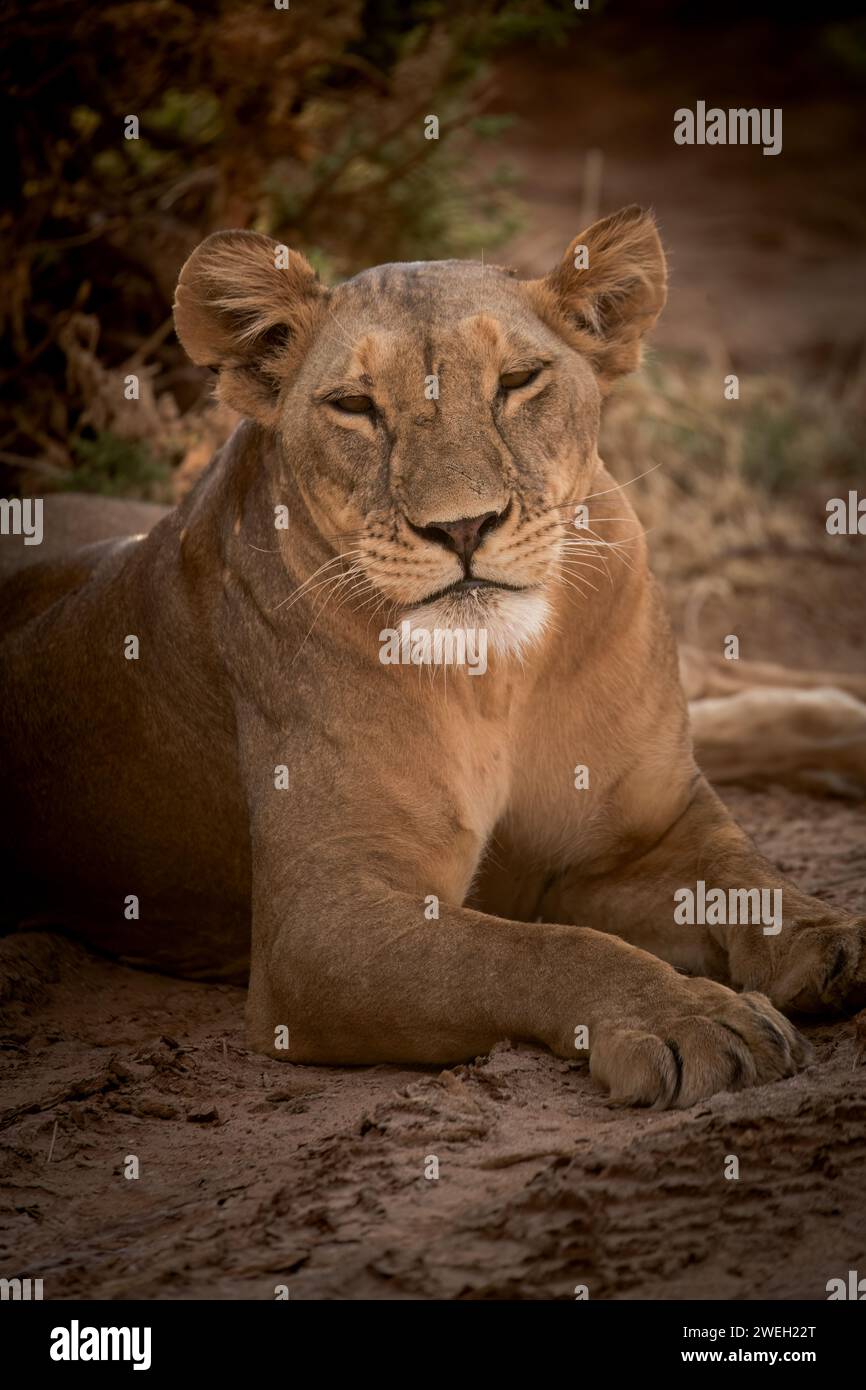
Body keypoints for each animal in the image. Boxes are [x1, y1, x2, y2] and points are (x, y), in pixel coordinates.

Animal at [2, 205, 865, 1109]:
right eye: (354, 406)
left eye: (518, 380)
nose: (462, 526)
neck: (499, 675)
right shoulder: (319, 930)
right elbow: (540, 950)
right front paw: (691, 1017)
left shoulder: (648, 834)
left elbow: (739, 874)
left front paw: (825, 939)